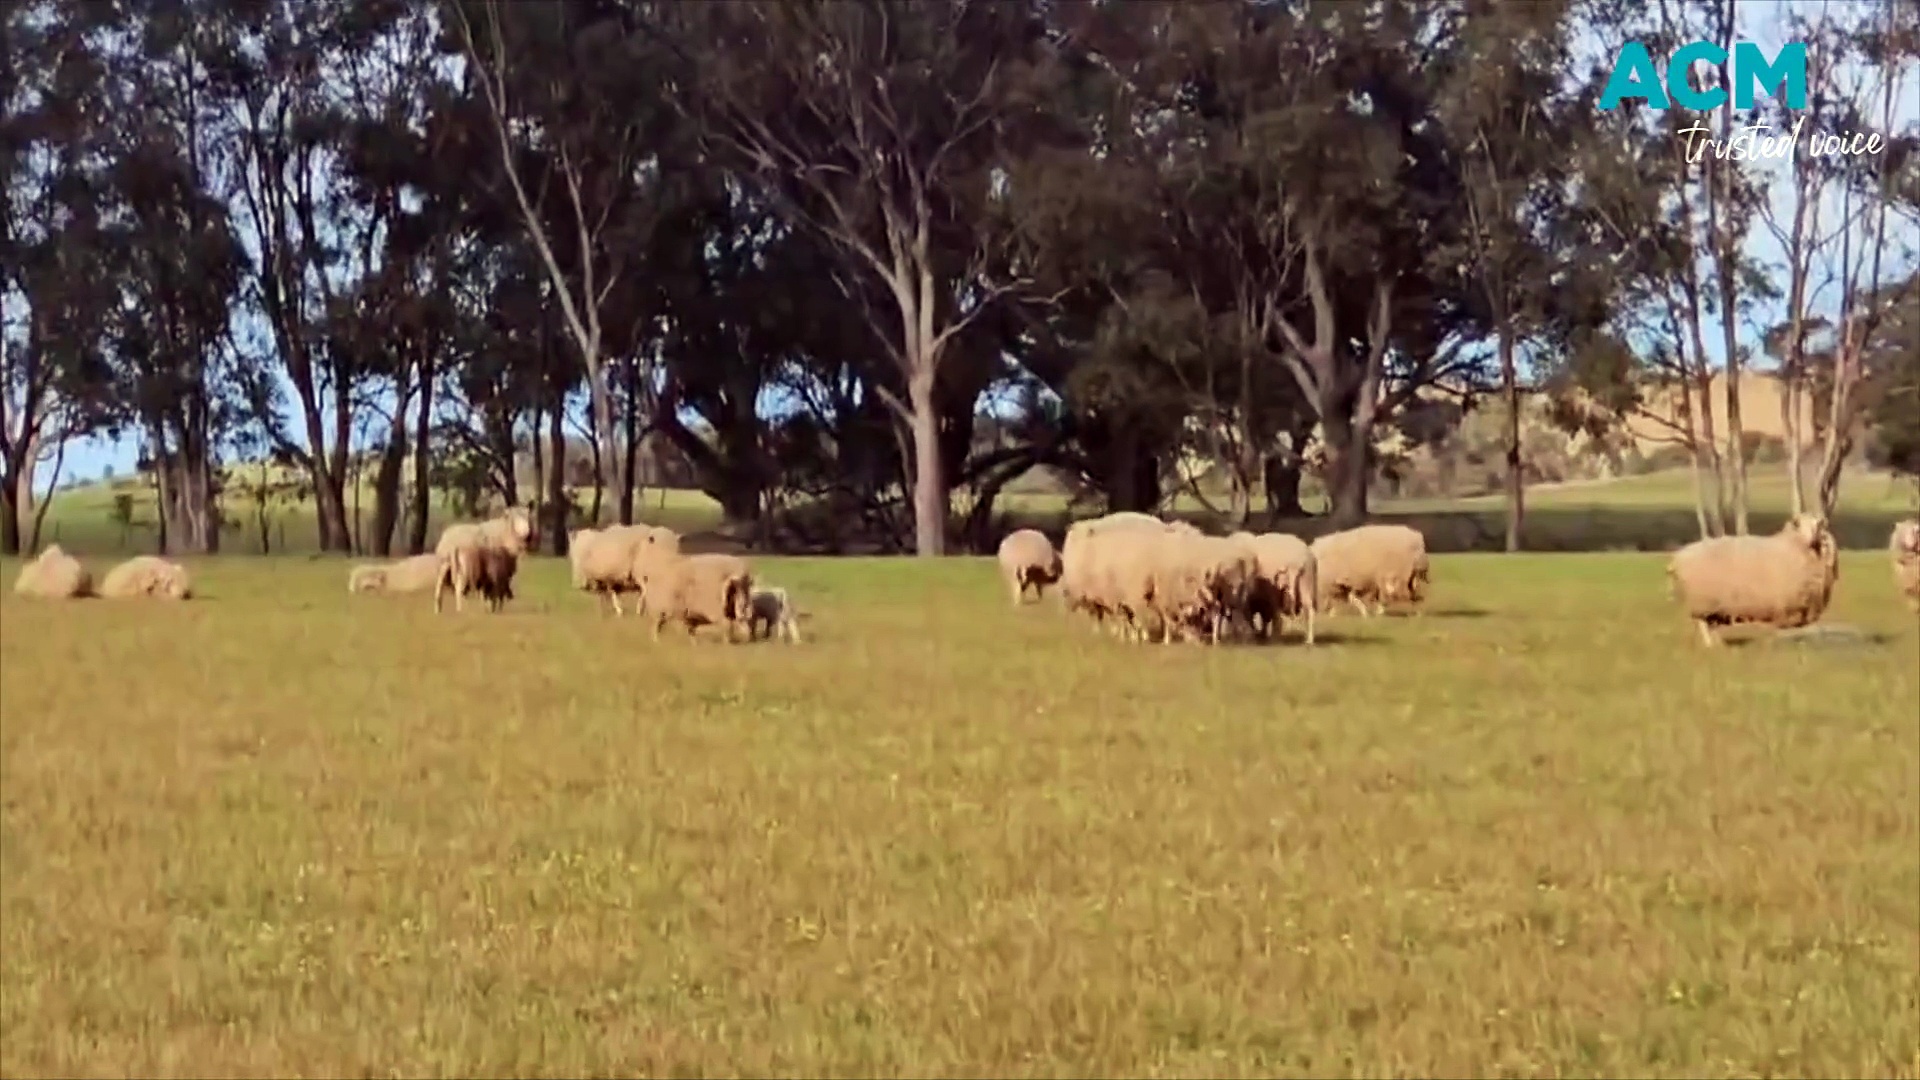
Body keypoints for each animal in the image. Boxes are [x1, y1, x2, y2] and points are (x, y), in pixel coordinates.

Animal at [1667, 512, 1839, 647]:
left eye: (1818, 526)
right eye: (1799, 524)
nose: (1811, 539)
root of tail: (1678, 557)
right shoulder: (1784, 604)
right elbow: (1780, 627)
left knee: (1709, 623)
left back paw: (1717, 643)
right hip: (1701, 601)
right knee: (1703, 624)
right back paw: (1710, 645)